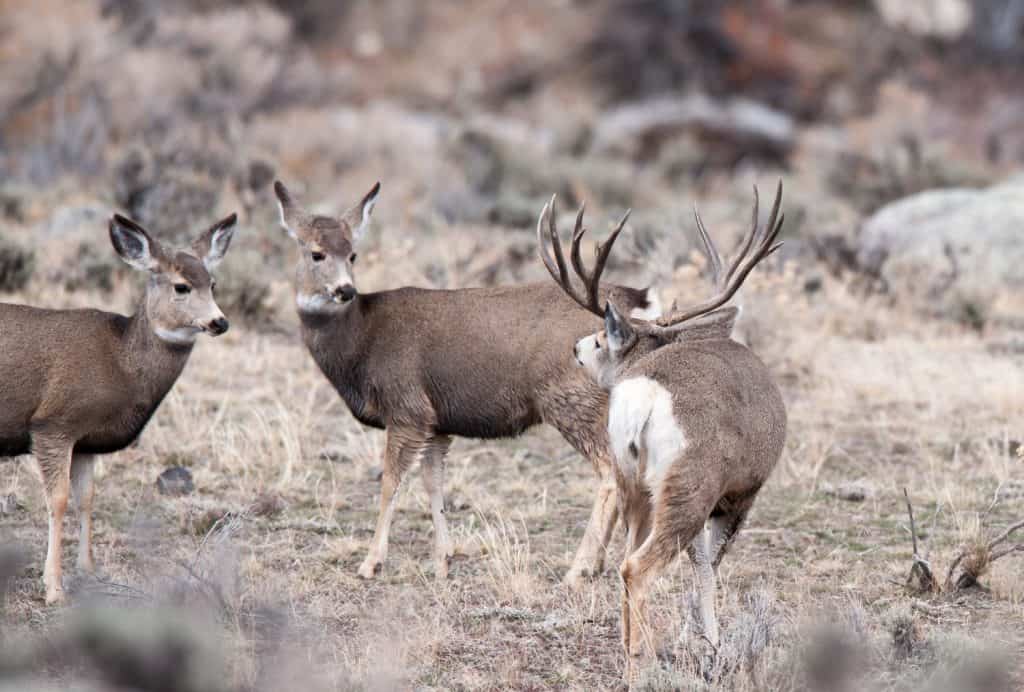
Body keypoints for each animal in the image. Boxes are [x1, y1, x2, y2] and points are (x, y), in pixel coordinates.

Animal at [0, 211, 238, 604]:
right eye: (181, 287)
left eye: (213, 283)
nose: (219, 322)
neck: (120, 361)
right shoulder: (53, 423)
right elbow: (58, 500)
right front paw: (54, 588)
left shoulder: (86, 440)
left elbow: (86, 498)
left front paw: (90, 570)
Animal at [273, 180, 661, 584]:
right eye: (316, 254)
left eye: (353, 254)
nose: (344, 290)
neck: (360, 339)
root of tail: (635, 304)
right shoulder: (435, 422)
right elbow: (433, 482)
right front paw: (443, 560)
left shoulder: (407, 407)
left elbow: (390, 482)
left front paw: (370, 563)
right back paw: (596, 564)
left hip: (572, 398)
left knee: (610, 473)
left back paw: (577, 569)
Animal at [538, 183, 788, 684]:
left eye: (599, 340)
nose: (575, 347)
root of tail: (646, 397)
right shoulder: (741, 493)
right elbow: (709, 564)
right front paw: (711, 642)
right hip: (690, 485)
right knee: (639, 566)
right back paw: (643, 665)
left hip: (633, 483)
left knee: (625, 558)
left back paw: (631, 648)